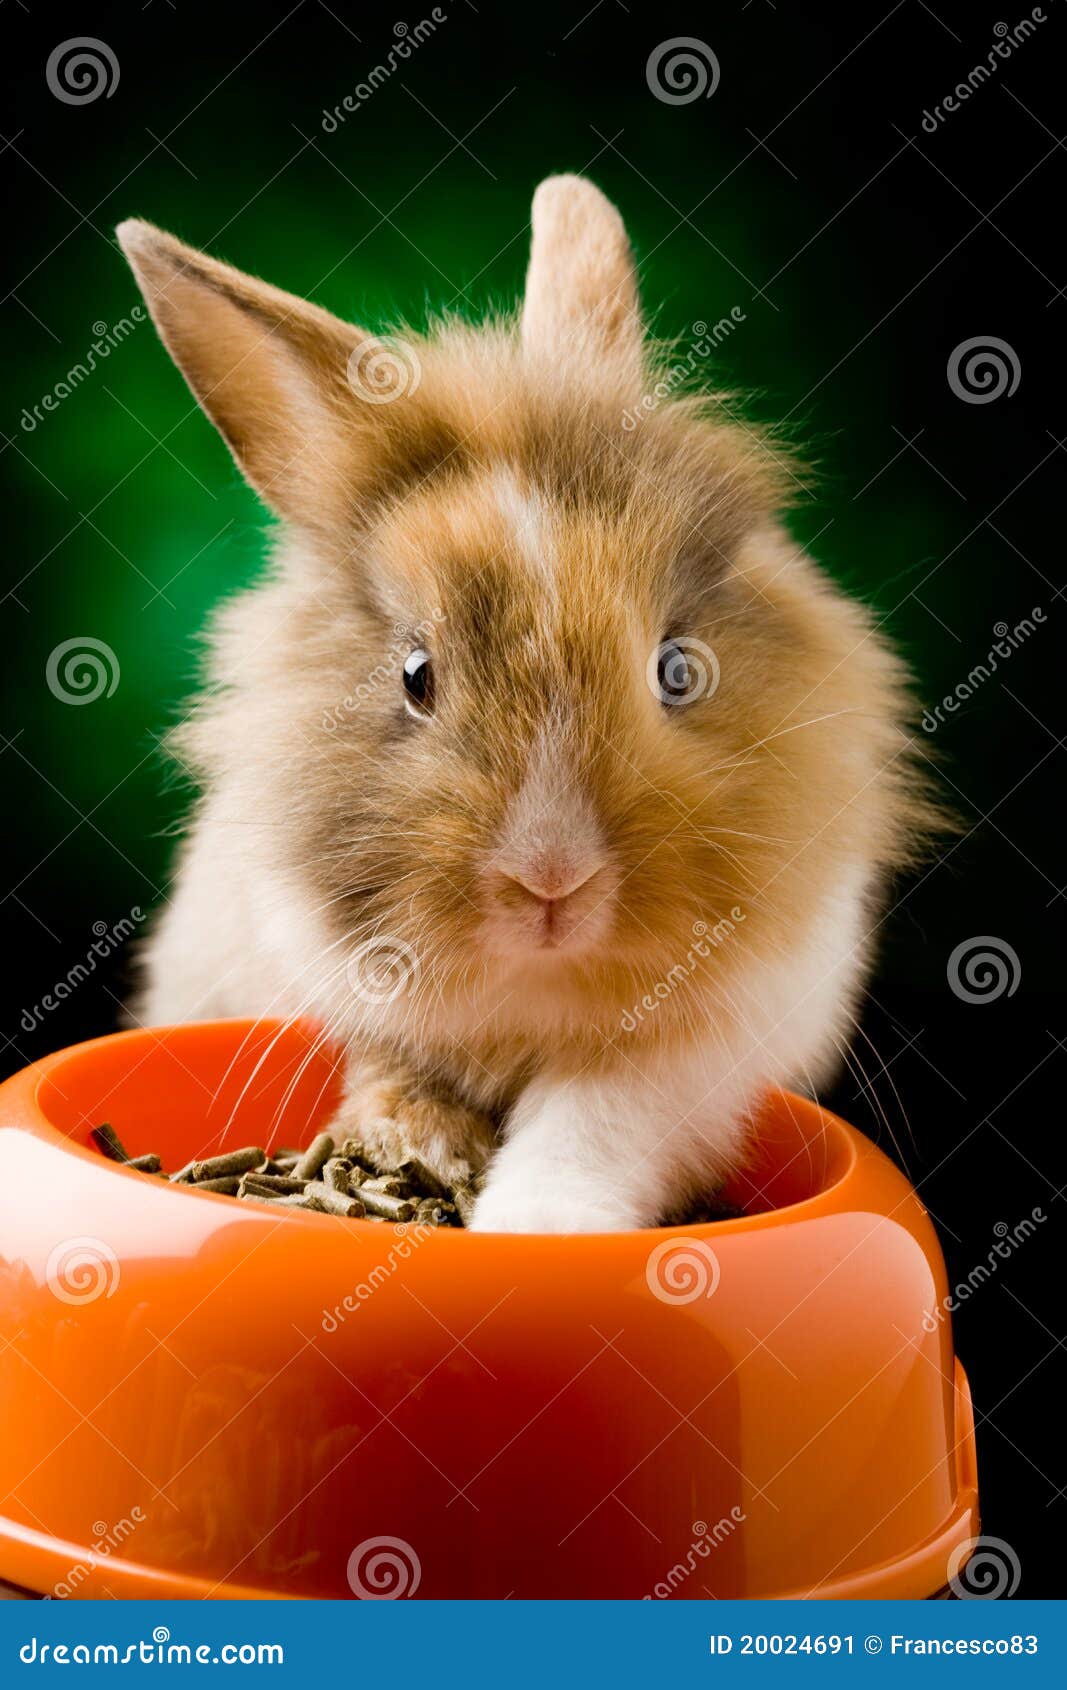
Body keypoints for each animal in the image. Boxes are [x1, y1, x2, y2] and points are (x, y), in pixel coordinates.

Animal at [117, 174, 933, 1232]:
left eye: (677, 671)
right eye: (415, 675)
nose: (551, 882)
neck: (538, 981)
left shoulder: (695, 1055)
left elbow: (596, 1117)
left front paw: (535, 1224)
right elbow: (392, 1071)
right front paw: (412, 1150)